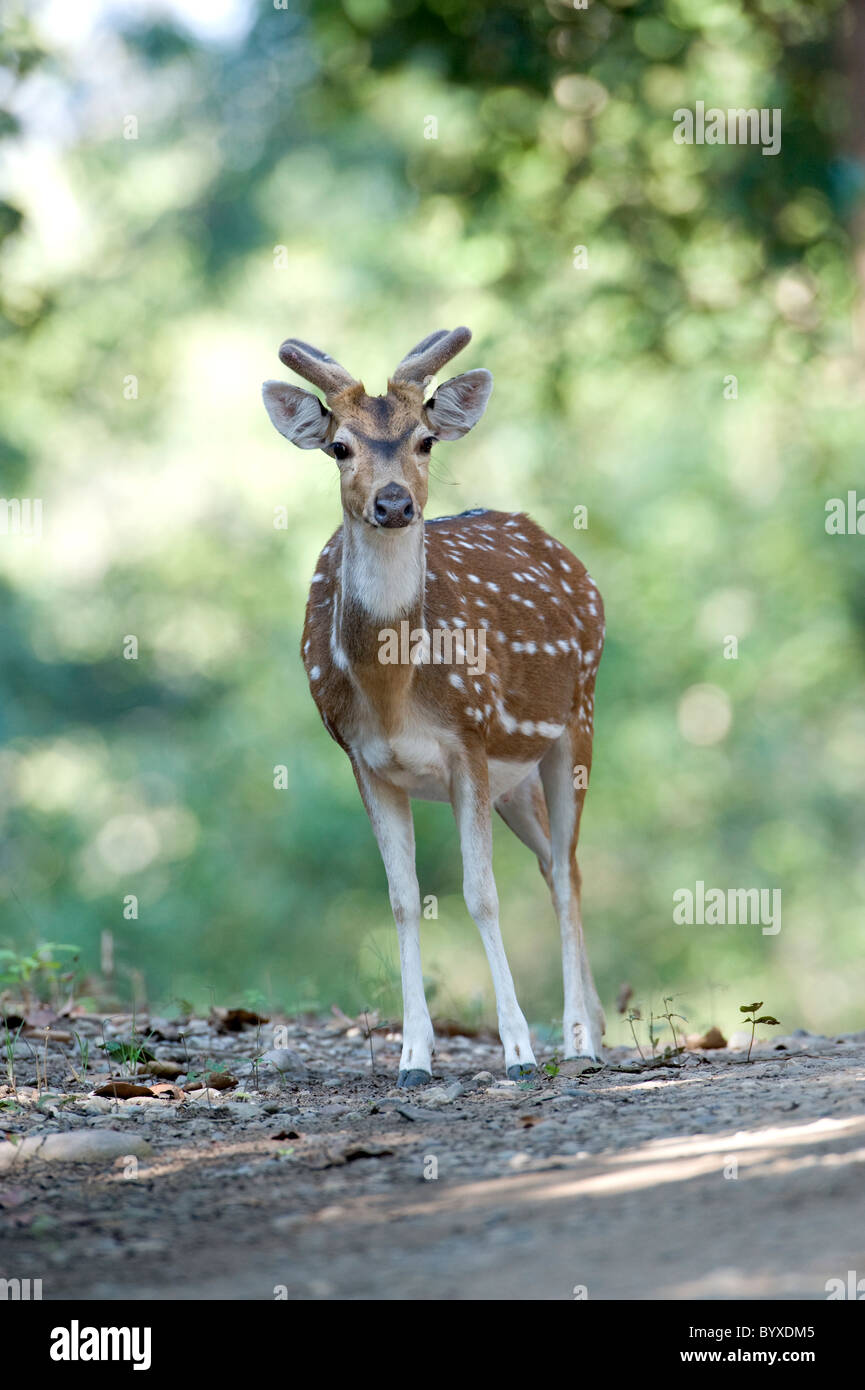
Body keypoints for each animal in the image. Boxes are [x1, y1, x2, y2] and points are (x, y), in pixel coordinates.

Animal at [262, 327, 606, 1085]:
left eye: (424, 440)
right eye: (339, 446)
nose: (393, 503)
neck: (393, 695)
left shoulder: (468, 741)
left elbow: (481, 893)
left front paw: (517, 1053)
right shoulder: (363, 759)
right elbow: (400, 900)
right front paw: (413, 1057)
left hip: (577, 718)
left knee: (568, 873)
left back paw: (577, 1040)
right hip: (514, 775)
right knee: (552, 863)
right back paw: (596, 1025)